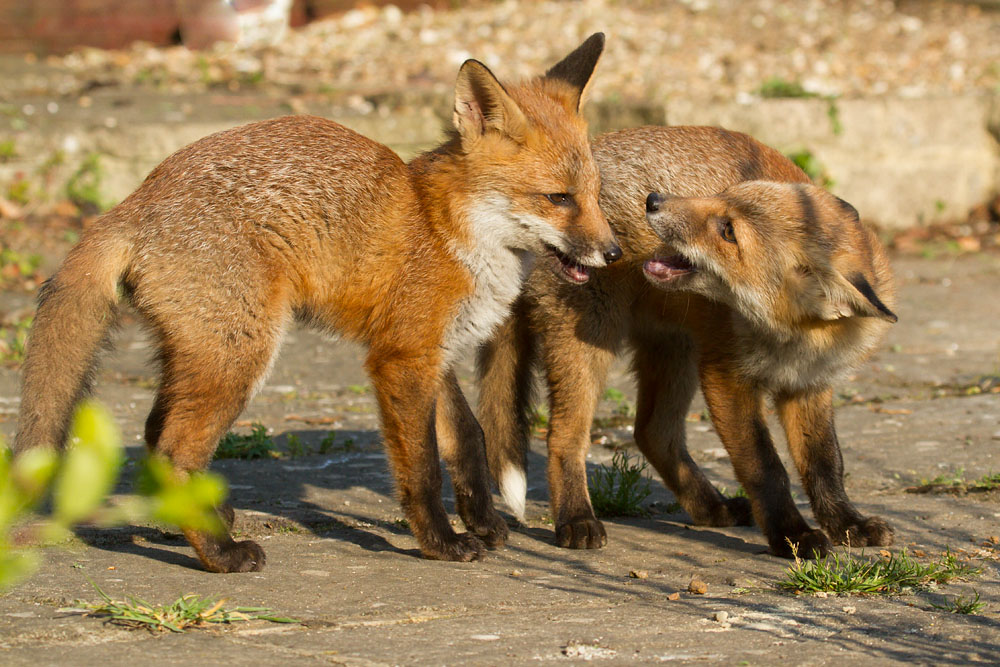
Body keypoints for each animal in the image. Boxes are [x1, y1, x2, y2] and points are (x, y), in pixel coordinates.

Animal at [13, 33, 620, 573]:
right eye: (558, 199)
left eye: (593, 195)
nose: (613, 253)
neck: (449, 229)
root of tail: (133, 202)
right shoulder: (401, 359)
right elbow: (423, 466)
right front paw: (442, 543)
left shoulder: (433, 352)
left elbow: (468, 440)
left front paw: (487, 525)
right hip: (240, 356)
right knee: (173, 449)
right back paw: (222, 554)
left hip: (201, 354)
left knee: (152, 431)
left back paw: (211, 516)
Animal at [474, 125, 897, 558]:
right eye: (725, 194)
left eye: (729, 231)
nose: (654, 200)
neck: (792, 342)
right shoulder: (726, 377)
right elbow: (767, 468)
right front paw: (792, 536)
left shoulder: (809, 387)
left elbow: (825, 464)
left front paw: (846, 523)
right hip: (591, 343)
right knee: (564, 438)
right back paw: (576, 519)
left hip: (676, 352)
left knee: (652, 433)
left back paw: (711, 508)